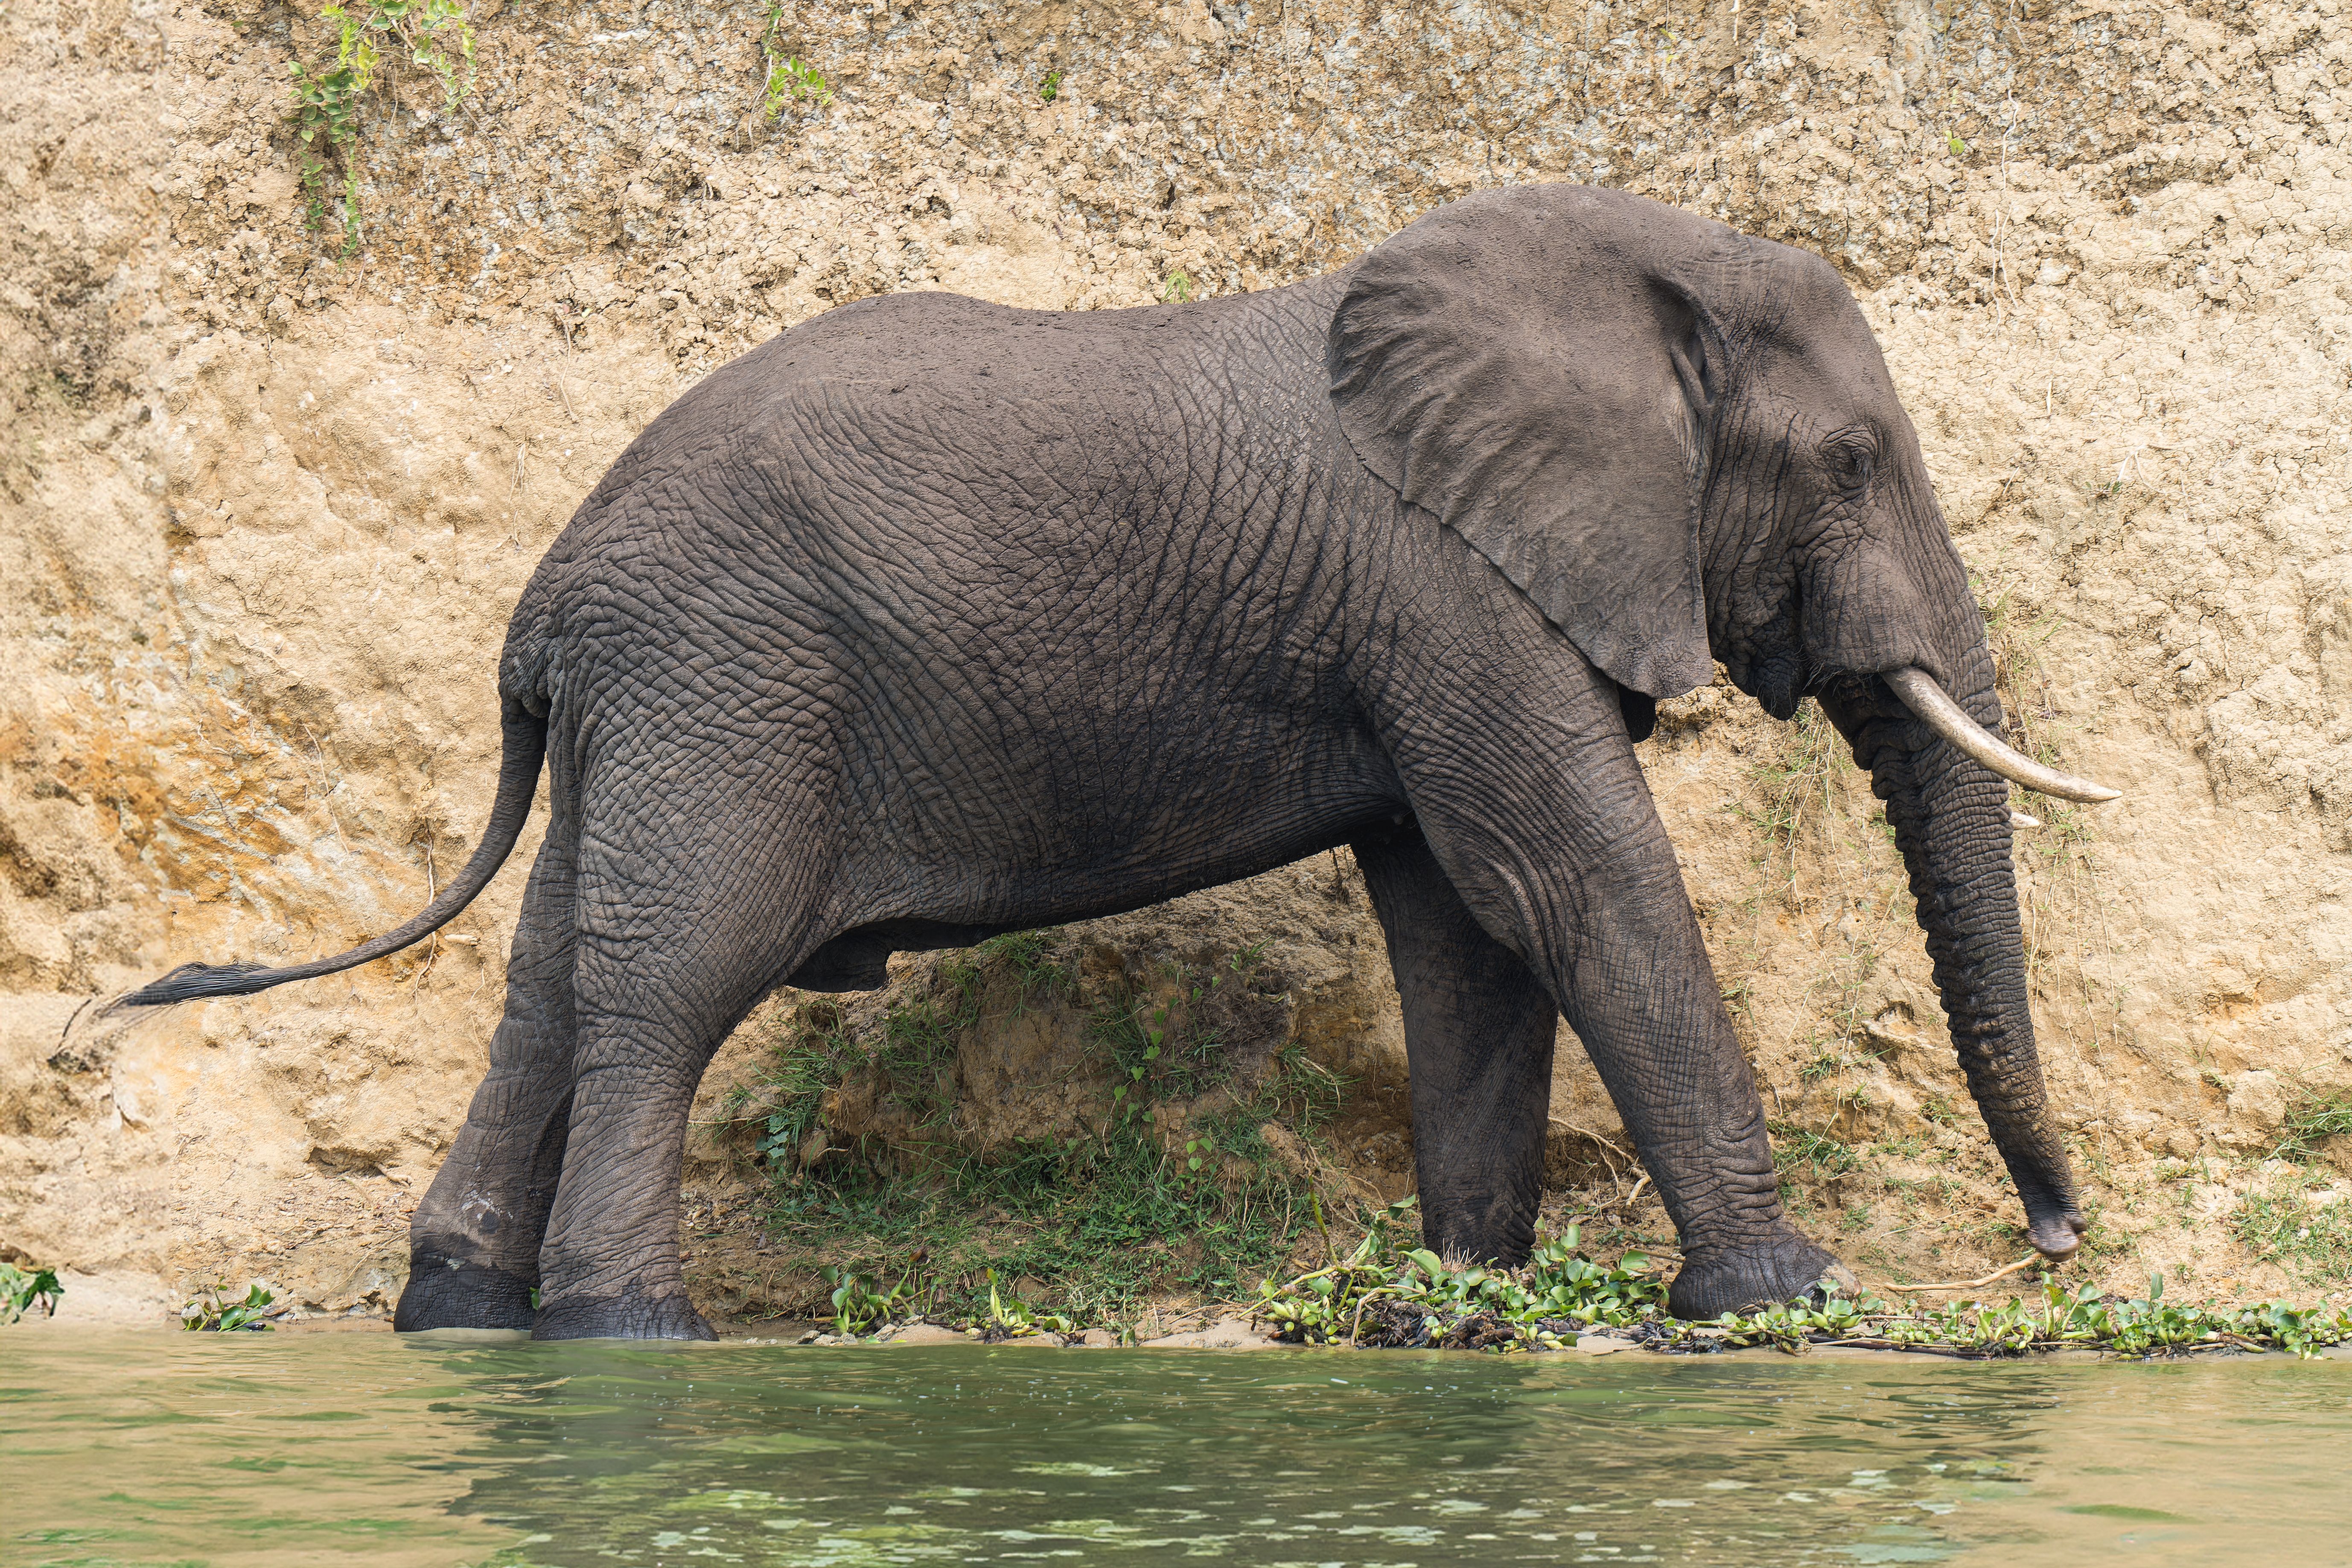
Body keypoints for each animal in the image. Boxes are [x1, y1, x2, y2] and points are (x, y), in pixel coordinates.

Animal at [110, 184, 2123, 1340]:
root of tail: (540, 609)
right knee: (665, 989)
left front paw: (1448, 1314)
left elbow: (1464, 929)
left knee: (545, 981)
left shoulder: (1420, 618)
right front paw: (1777, 1303)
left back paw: (455, 1314)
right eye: (1849, 463)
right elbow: (1565, 880)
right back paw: (626, 1336)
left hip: (654, 713)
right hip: (723, 686)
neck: (1620, 272)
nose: (2052, 1238)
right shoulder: (1445, 587)